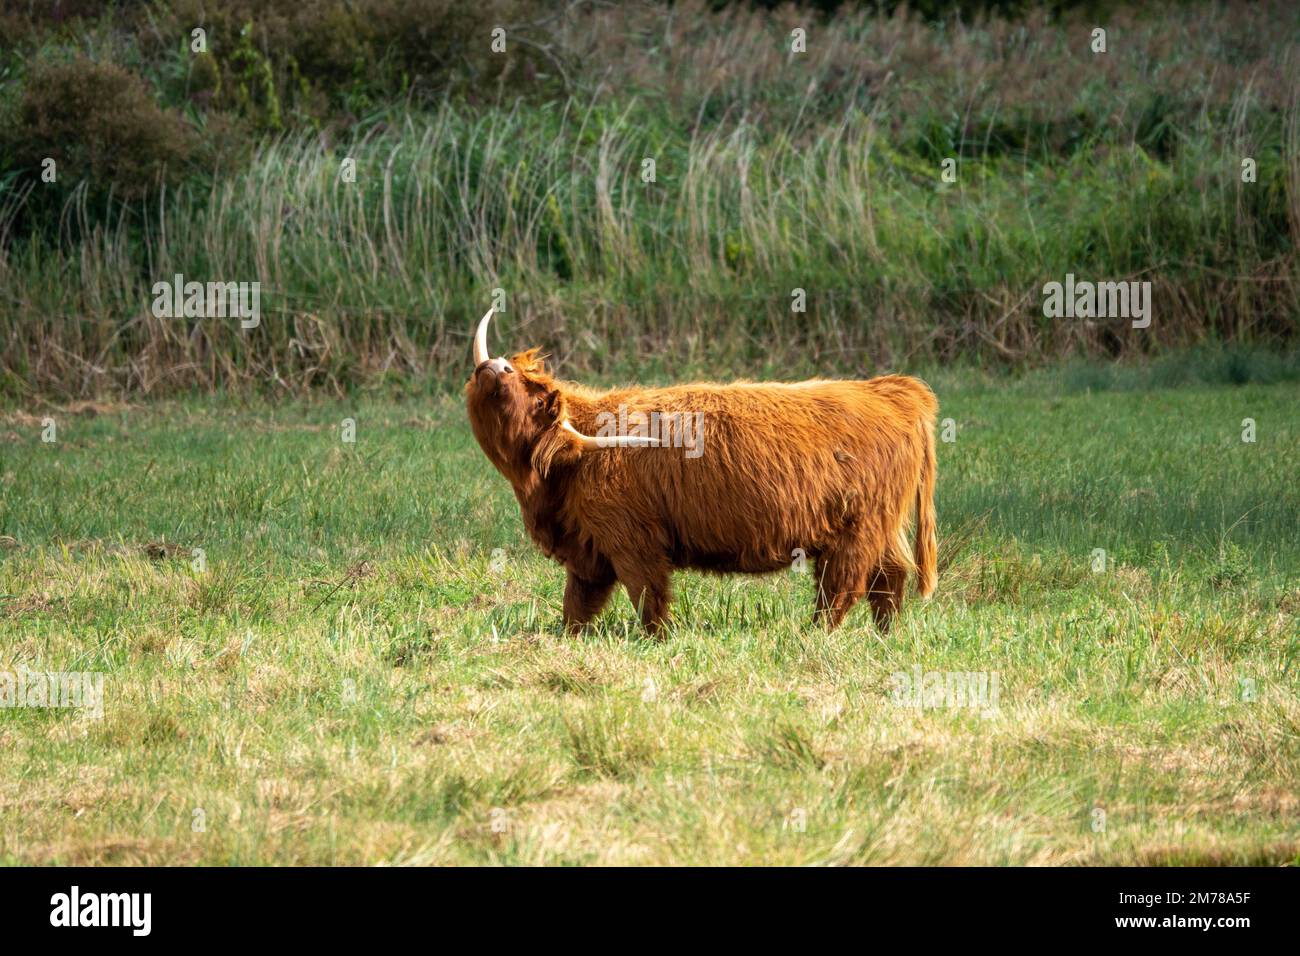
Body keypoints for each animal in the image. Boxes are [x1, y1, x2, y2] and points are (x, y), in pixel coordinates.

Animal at [466, 309, 938, 635]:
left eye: (536, 396)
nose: (498, 365)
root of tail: (889, 389)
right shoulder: (588, 549)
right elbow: (578, 604)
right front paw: (567, 638)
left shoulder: (630, 539)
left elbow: (647, 596)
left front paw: (659, 639)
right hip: (880, 526)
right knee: (889, 578)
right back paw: (884, 636)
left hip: (856, 530)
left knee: (842, 589)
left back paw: (812, 636)